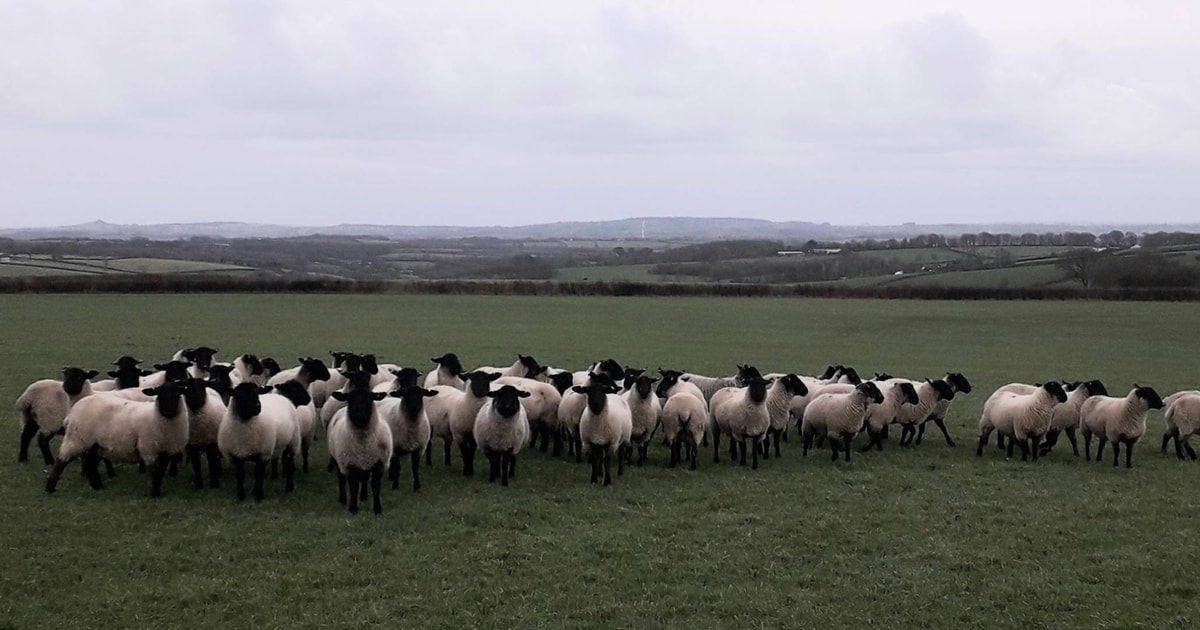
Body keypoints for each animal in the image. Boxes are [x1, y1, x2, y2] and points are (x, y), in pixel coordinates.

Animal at [45, 381, 190, 497]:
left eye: (178, 393)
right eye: (160, 393)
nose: (168, 411)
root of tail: (72, 411)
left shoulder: (166, 451)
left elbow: (160, 473)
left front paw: (157, 492)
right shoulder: (149, 449)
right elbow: (154, 473)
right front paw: (154, 495)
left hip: (96, 445)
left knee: (90, 464)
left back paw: (97, 486)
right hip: (76, 439)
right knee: (61, 461)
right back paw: (50, 488)